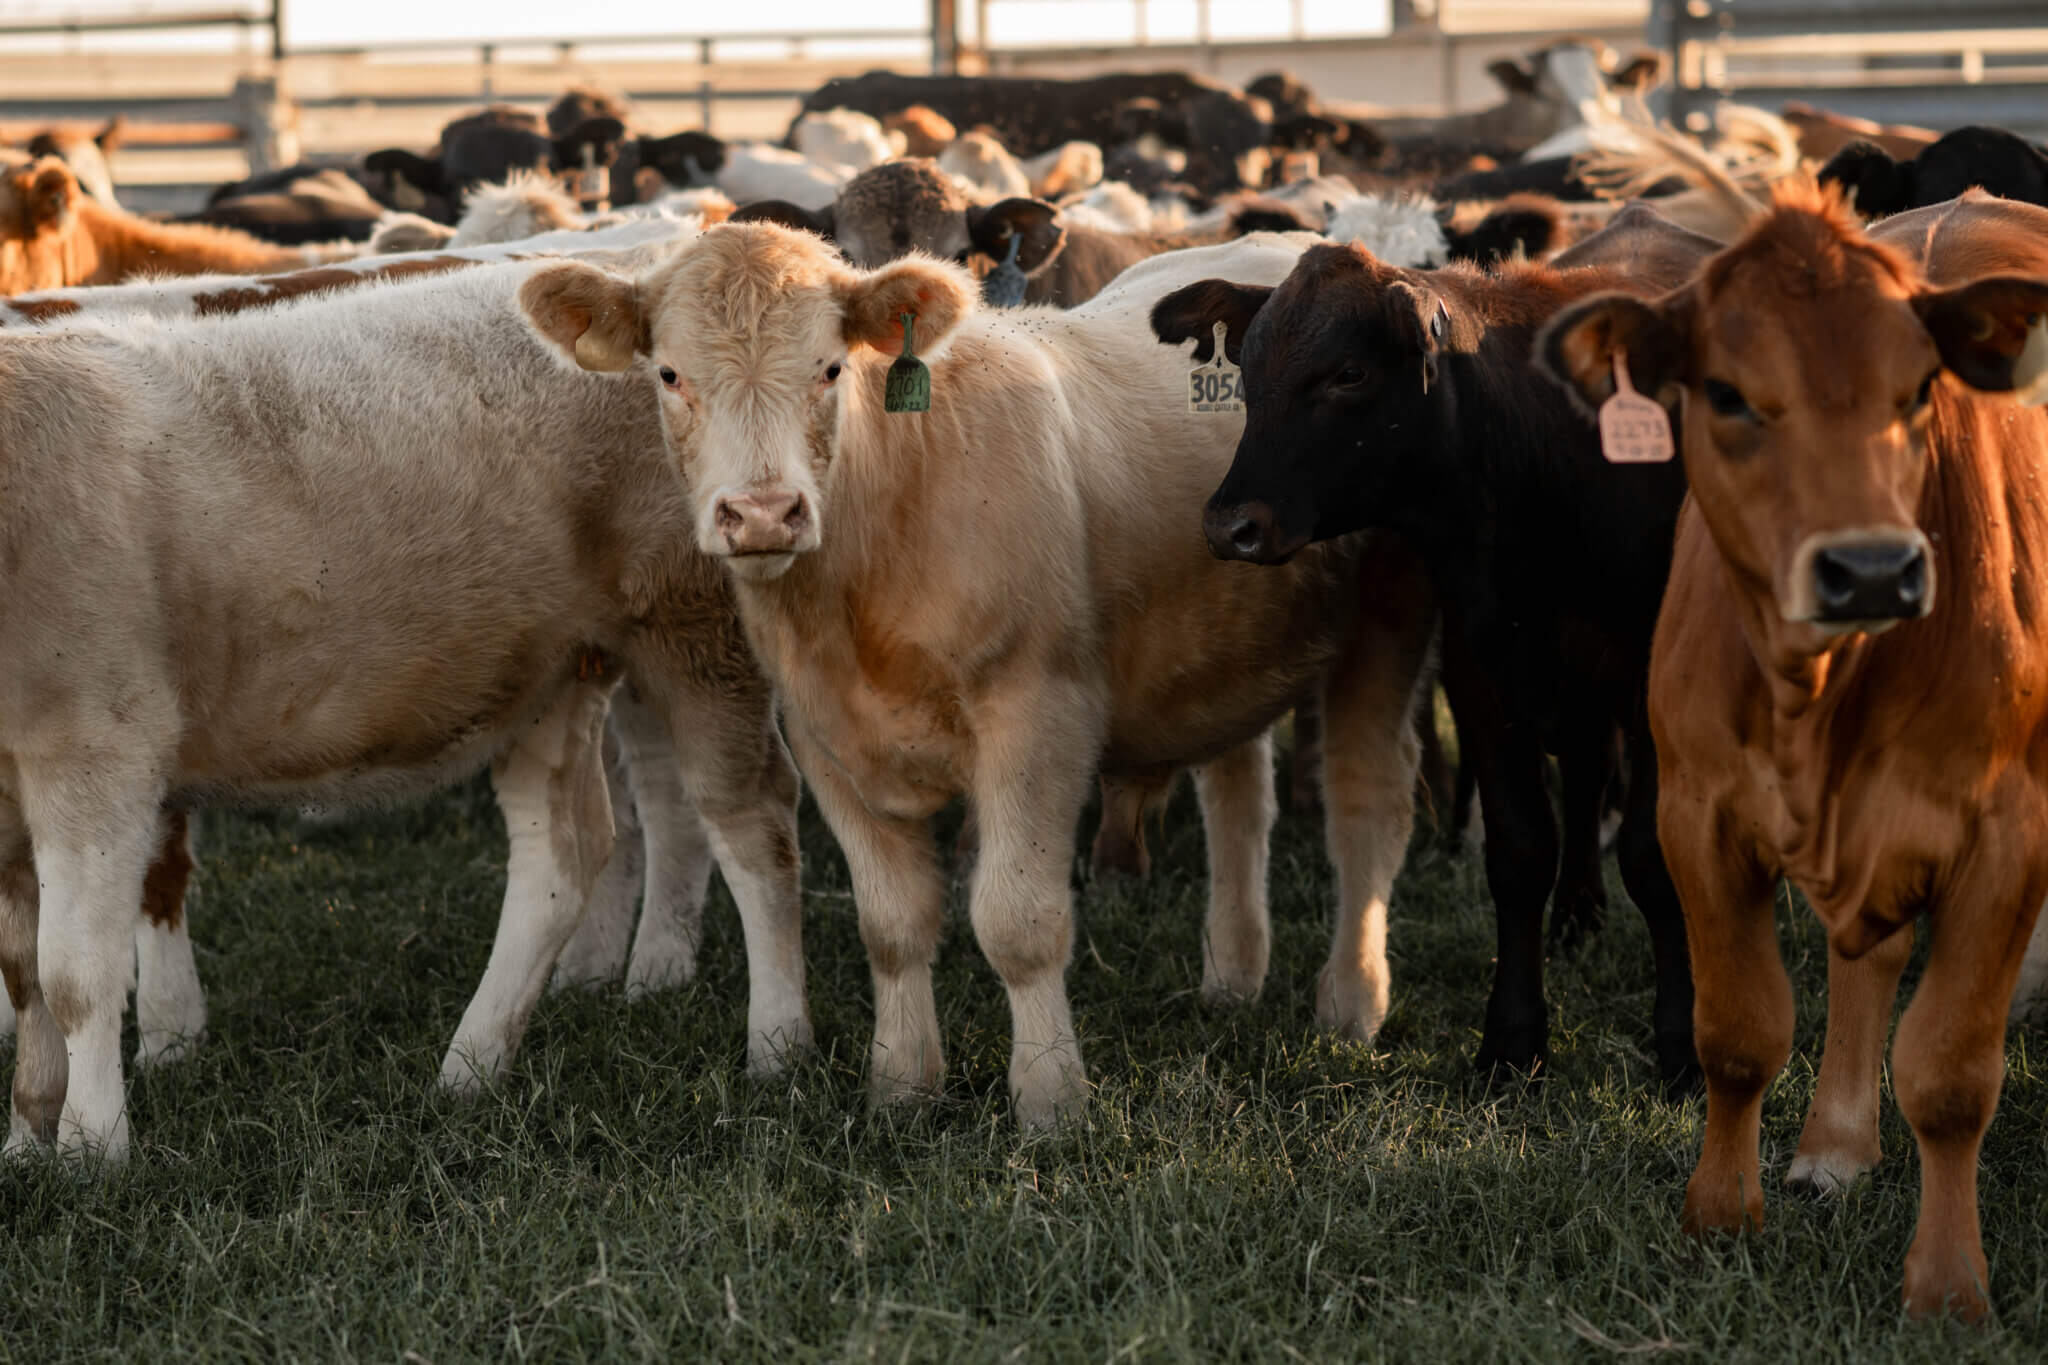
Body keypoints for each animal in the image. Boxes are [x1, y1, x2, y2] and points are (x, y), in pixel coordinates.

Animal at [0, 257, 811, 1162]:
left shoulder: (97, 747)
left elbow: (73, 972)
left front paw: (89, 1151)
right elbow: (22, 972)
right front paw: (26, 1138)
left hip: (697, 630)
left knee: (752, 822)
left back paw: (777, 1046)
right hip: (551, 672)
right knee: (563, 852)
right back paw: (471, 1065)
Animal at [519, 226, 1437, 1126]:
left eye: (830, 367)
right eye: (671, 374)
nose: (763, 515)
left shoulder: (1039, 715)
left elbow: (1017, 920)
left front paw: (1050, 1098)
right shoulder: (824, 735)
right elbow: (891, 922)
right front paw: (902, 1084)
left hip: (1385, 623)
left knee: (1368, 802)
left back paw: (1351, 1004)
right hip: (1225, 642)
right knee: (1238, 795)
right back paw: (1233, 973)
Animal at [1150, 203, 1723, 1087]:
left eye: (1347, 374)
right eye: (1246, 374)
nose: (1230, 524)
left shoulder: (1651, 676)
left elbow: (1654, 857)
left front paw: (1681, 1043)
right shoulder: (1483, 664)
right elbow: (1519, 850)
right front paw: (1512, 1040)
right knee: (1586, 772)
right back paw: (1578, 914)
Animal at [1536, 183, 2048, 1321]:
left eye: (1919, 388)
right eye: (1725, 394)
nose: (1872, 568)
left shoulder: (2009, 838)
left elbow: (1952, 1075)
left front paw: (1948, 1286)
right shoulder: (1694, 814)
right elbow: (1736, 1033)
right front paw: (1720, 1216)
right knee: (1869, 956)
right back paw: (1835, 1144)